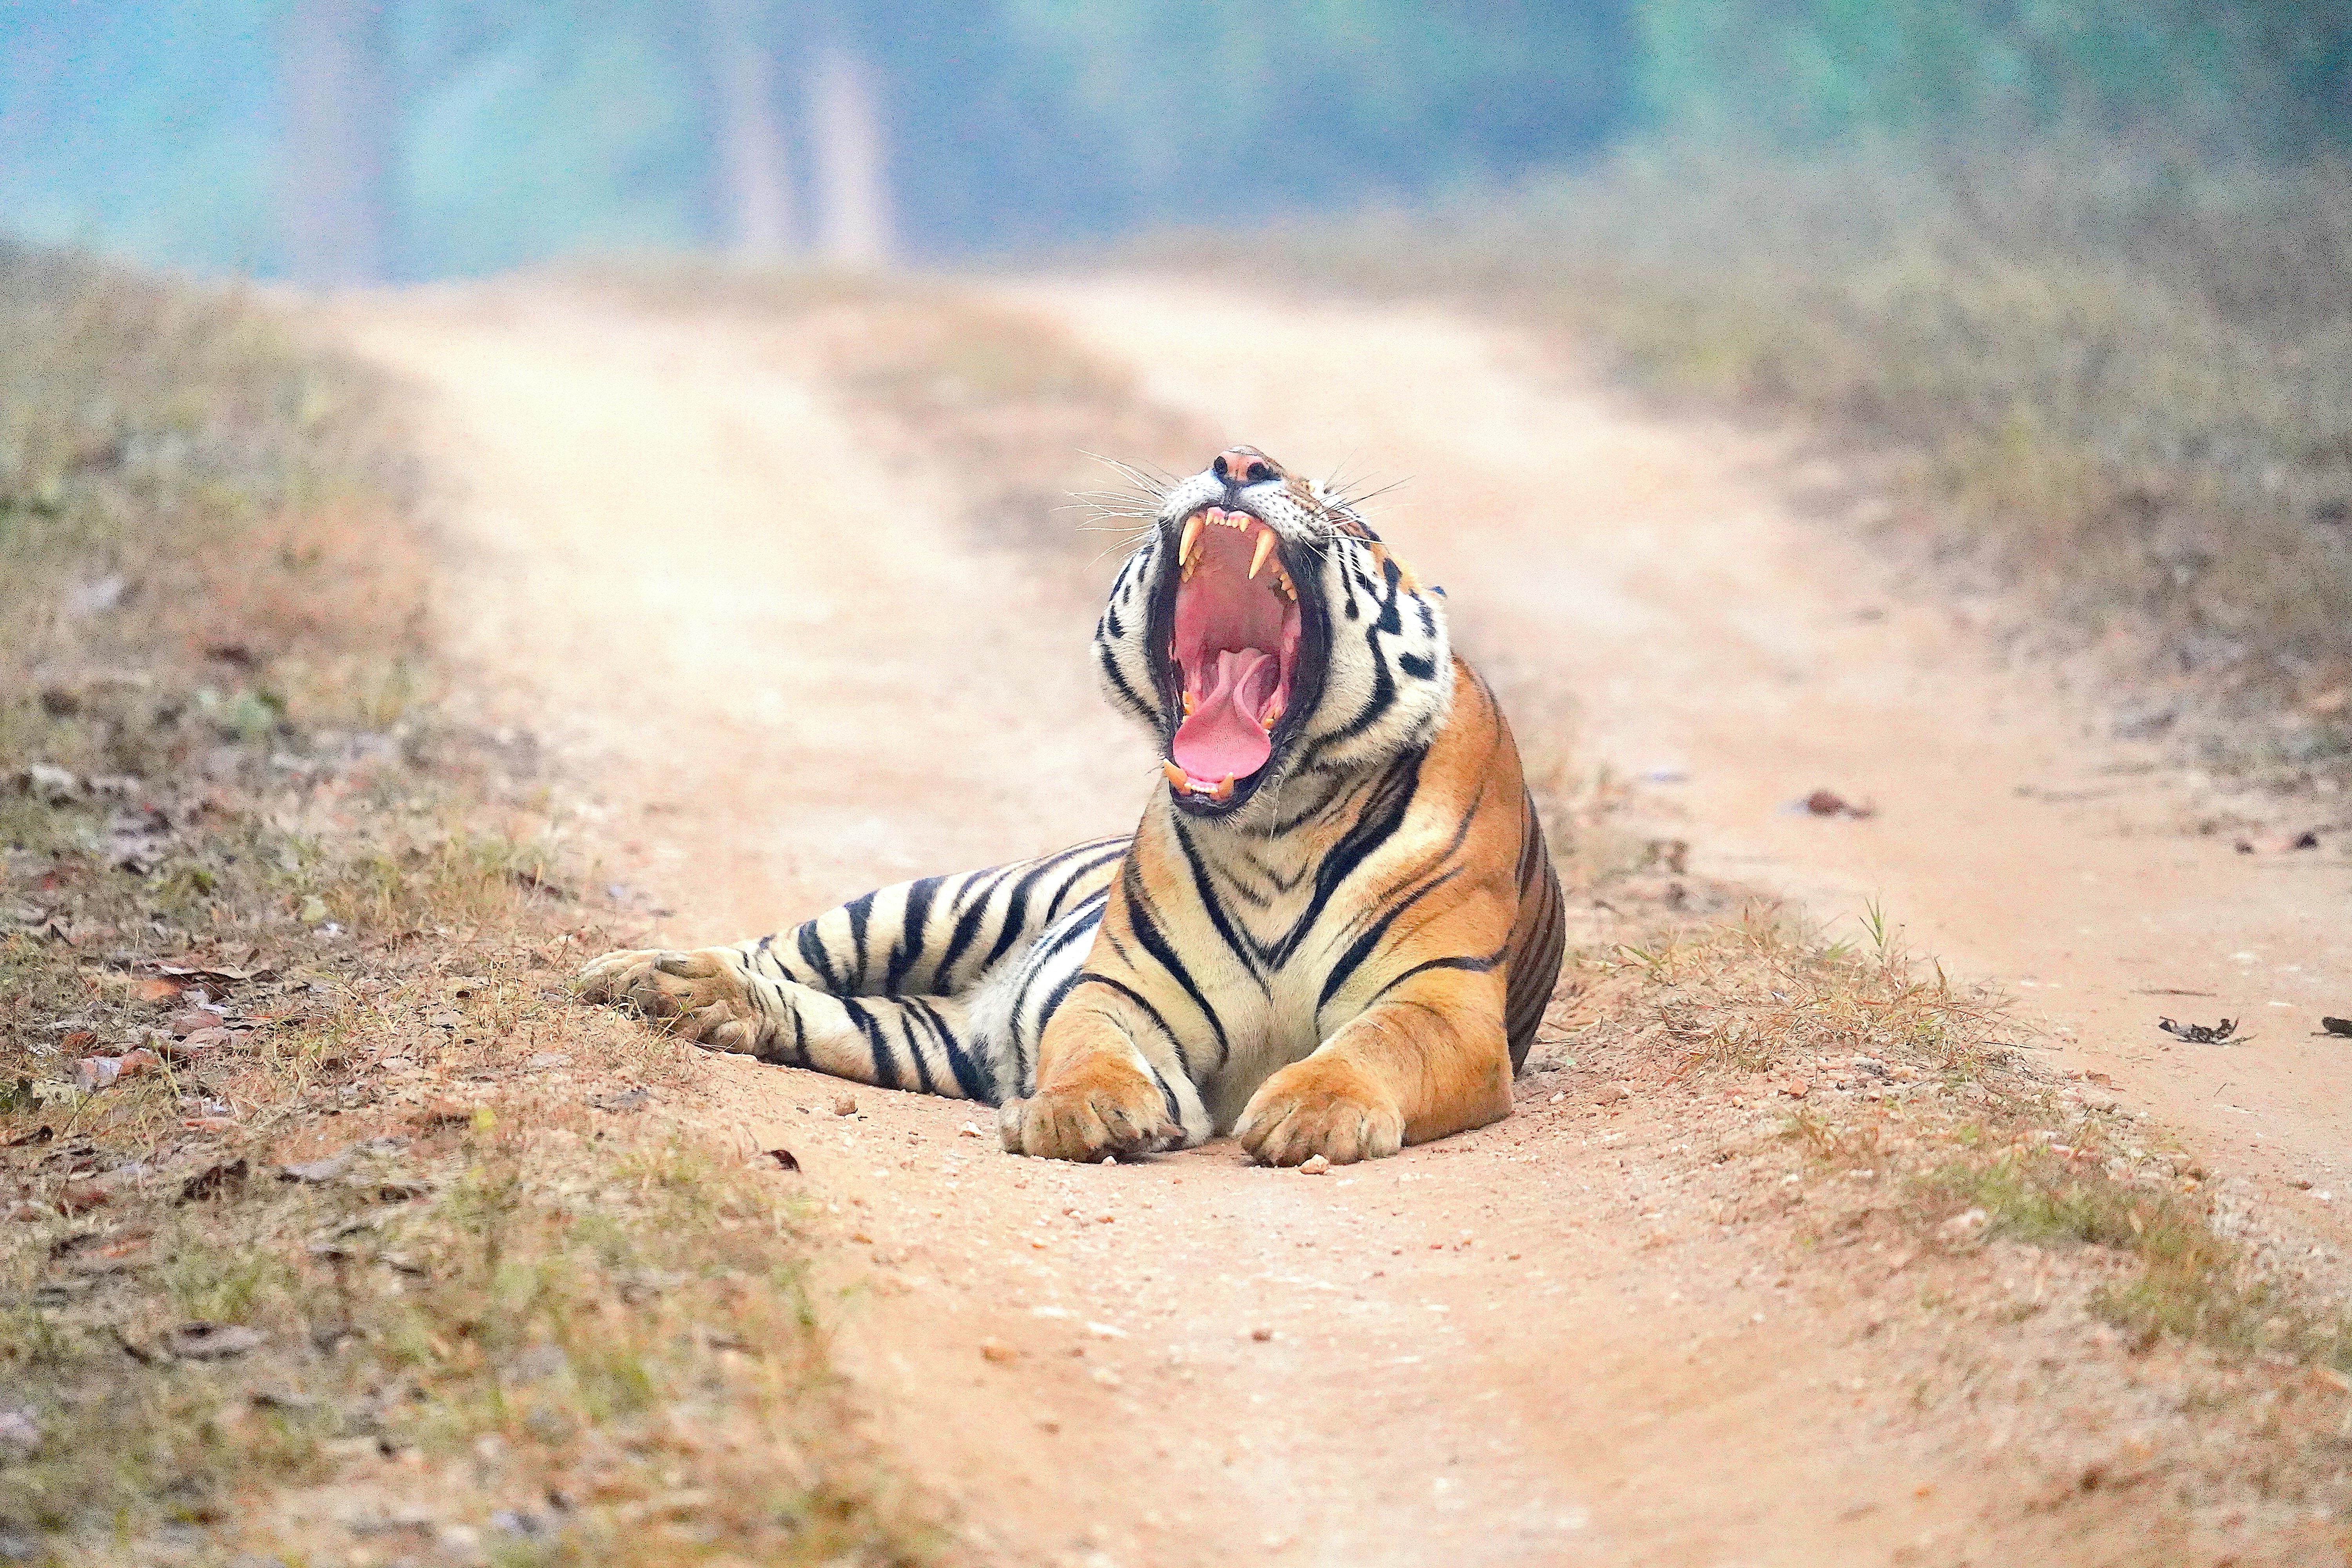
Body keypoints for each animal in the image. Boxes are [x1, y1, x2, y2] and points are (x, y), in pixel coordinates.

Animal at [578, 446, 1566, 1165]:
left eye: (1351, 518)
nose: (1242, 461)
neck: (1273, 824)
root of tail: (975, 1006)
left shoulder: (1442, 995)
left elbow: (1373, 1045)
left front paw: (1314, 1114)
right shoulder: (1119, 989)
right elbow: (1092, 1046)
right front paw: (1084, 1112)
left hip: (923, 1035)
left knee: (824, 1009)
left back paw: (695, 1001)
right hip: (936, 902)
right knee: (788, 947)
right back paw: (643, 974)